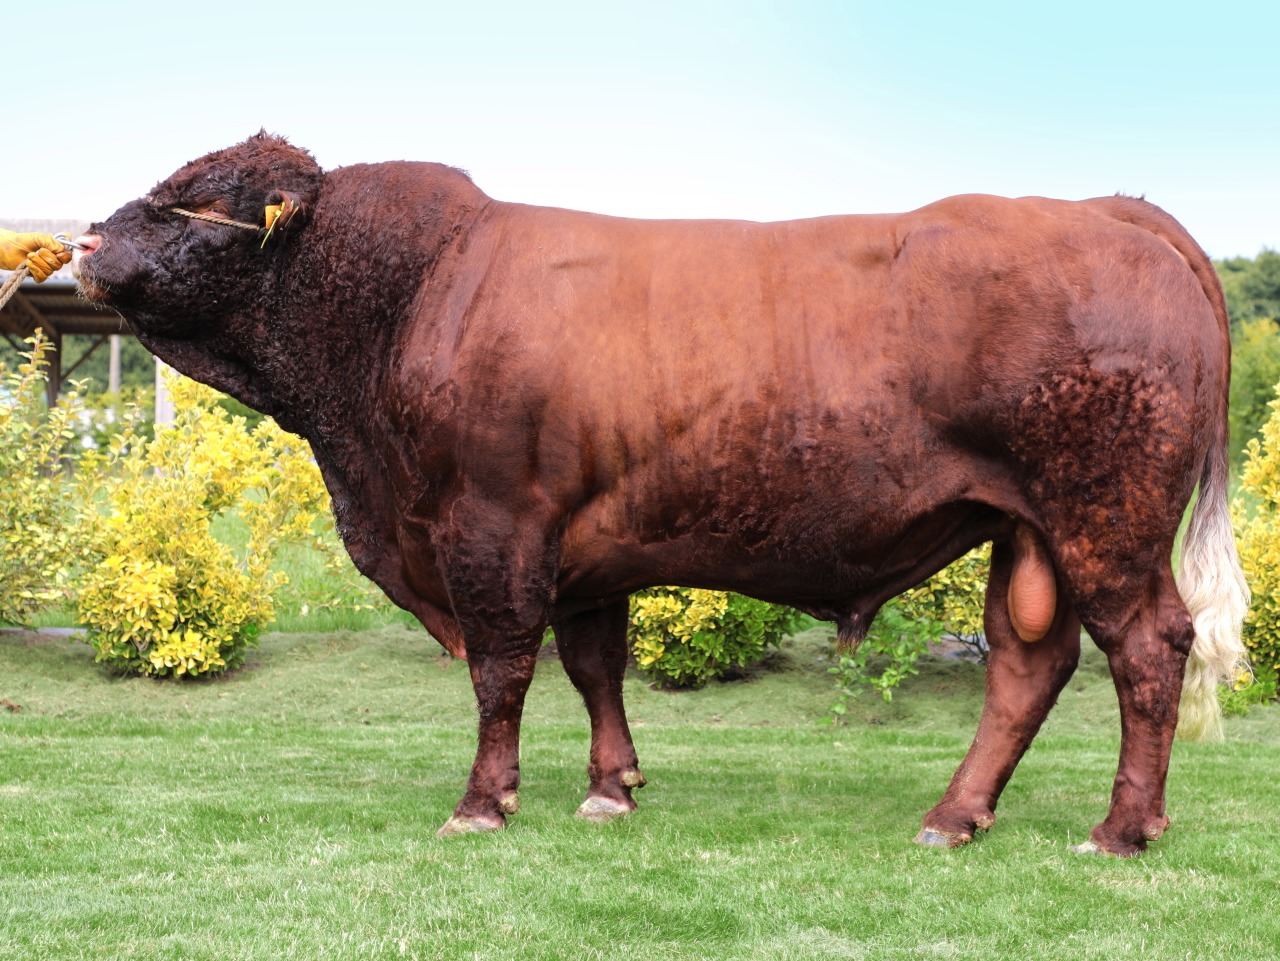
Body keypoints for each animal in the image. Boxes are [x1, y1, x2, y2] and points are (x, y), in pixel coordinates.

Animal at [73, 132, 1249, 856]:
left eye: (194, 203)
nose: (85, 239)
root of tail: (1109, 211)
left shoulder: (491, 527)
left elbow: (502, 672)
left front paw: (482, 804)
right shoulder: (583, 545)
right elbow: (594, 666)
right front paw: (609, 787)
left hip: (1103, 518)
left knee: (1147, 649)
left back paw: (1120, 829)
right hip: (1027, 527)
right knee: (1027, 664)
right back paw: (954, 816)